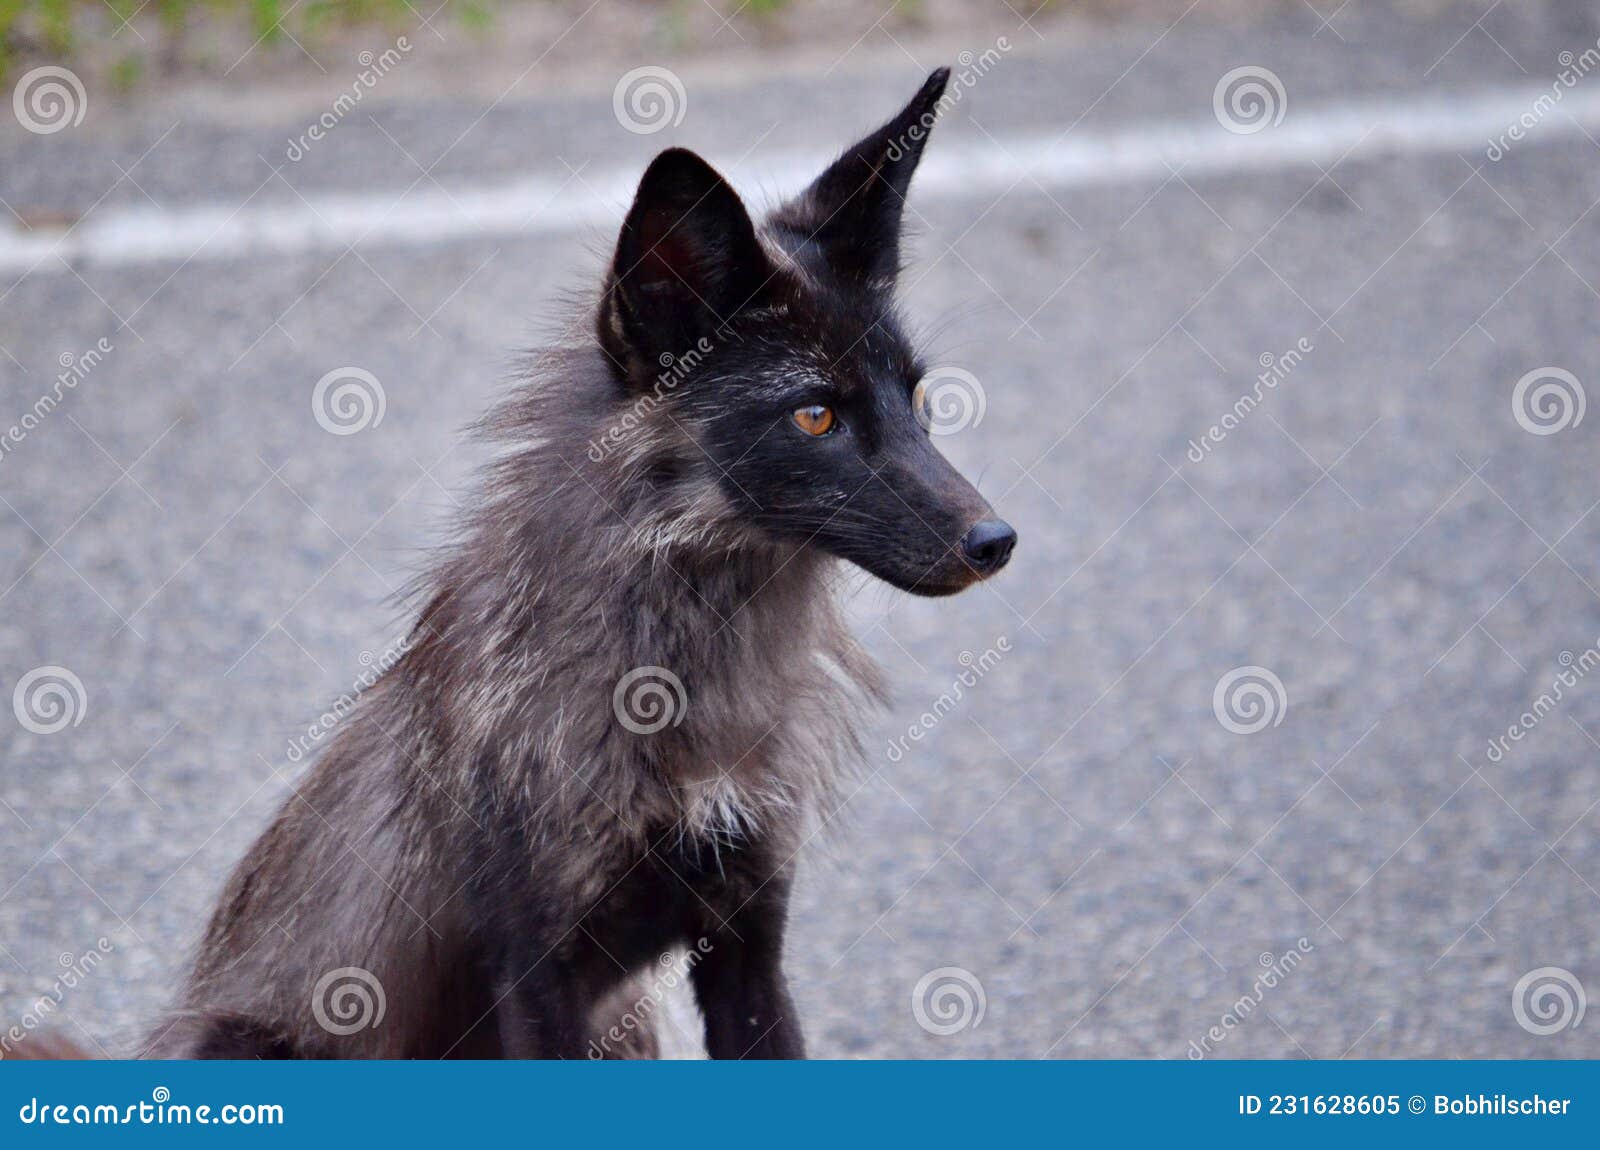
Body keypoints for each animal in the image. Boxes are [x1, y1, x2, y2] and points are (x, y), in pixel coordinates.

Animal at [42, 66, 1015, 1060]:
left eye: (919, 399)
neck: (680, 691)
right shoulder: (534, 966)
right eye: (815, 415)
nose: (995, 542)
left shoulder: (747, 932)